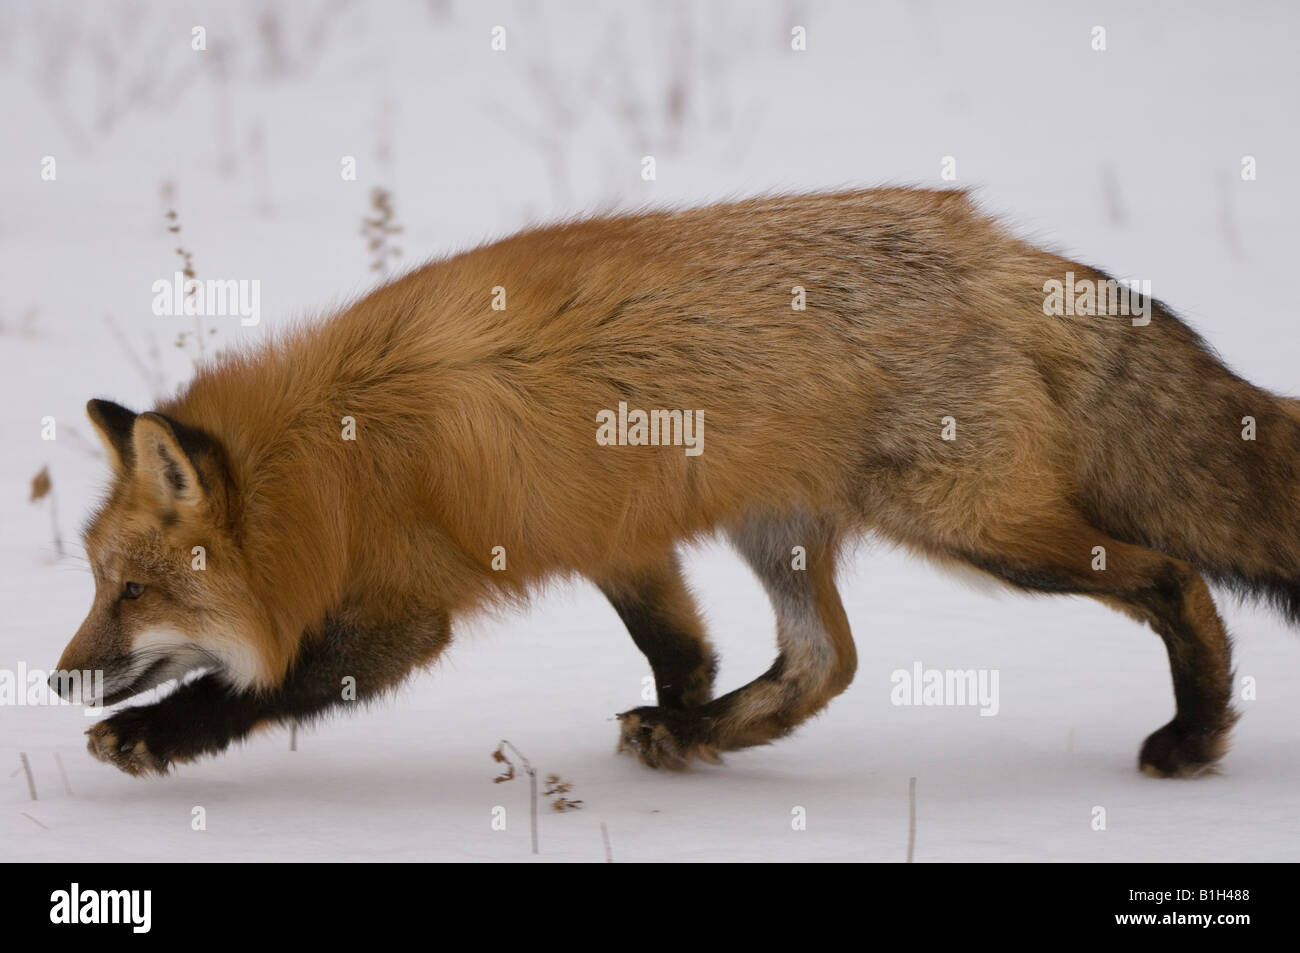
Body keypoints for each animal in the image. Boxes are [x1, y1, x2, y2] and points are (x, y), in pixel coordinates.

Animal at [52, 187, 1298, 779]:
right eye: (98, 584)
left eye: (133, 593)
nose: (59, 678)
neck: (336, 457)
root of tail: (996, 248)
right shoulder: (614, 535)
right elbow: (681, 647)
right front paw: (684, 716)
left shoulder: (406, 607)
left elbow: (268, 686)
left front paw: (155, 738)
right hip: (779, 524)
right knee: (824, 659)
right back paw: (708, 734)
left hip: (977, 527)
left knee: (1175, 578)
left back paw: (1193, 736)